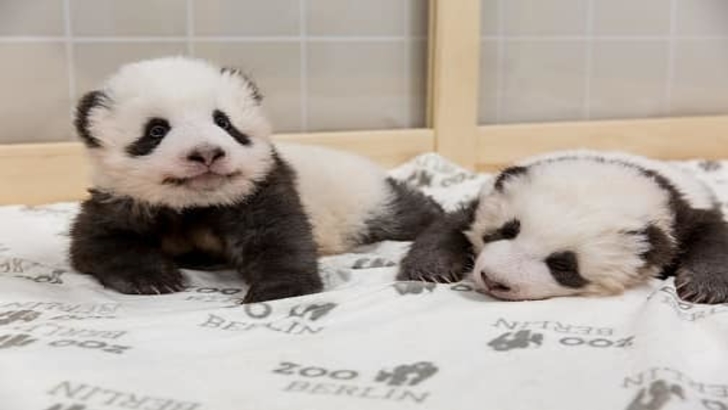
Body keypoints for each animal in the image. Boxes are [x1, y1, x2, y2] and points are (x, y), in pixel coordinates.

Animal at [69, 56, 442, 303]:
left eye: (223, 122)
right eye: (156, 130)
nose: (207, 153)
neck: (195, 202)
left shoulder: (261, 185)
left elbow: (278, 235)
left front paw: (279, 290)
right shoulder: (120, 198)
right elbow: (98, 242)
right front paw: (154, 278)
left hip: (364, 197)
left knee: (407, 211)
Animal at [398, 150, 728, 304]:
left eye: (563, 265)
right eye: (507, 230)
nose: (494, 279)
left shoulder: (679, 213)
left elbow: (713, 235)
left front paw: (704, 288)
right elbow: (453, 222)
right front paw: (431, 267)